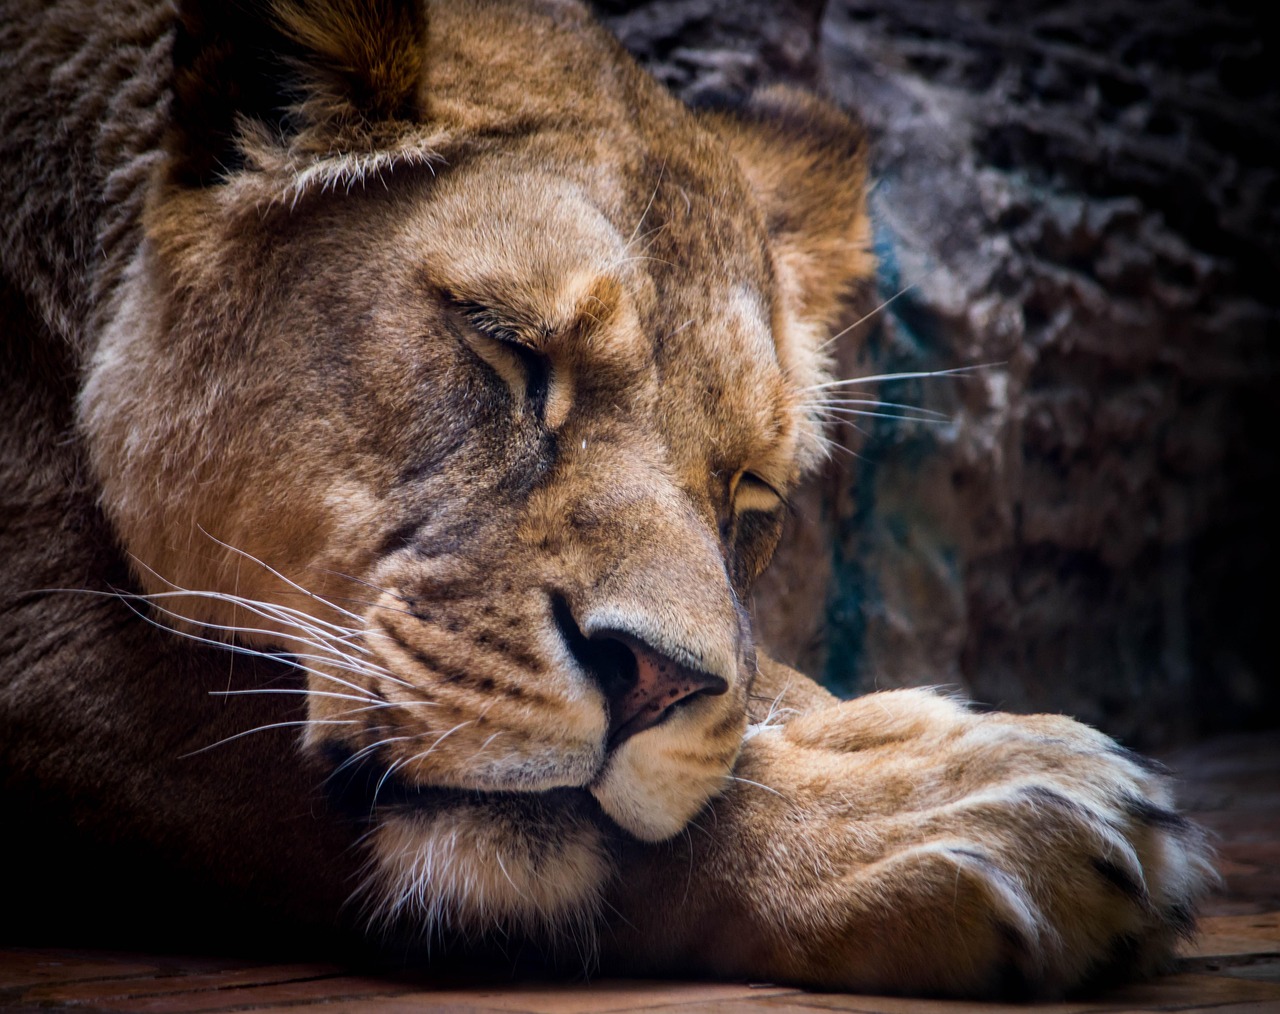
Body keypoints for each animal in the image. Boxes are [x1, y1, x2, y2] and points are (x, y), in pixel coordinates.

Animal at [0, 0, 1214, 998]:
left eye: (748, 486)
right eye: (505, 345)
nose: (652, 685)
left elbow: (747, 700)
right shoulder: (47, 647)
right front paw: (933, 815)